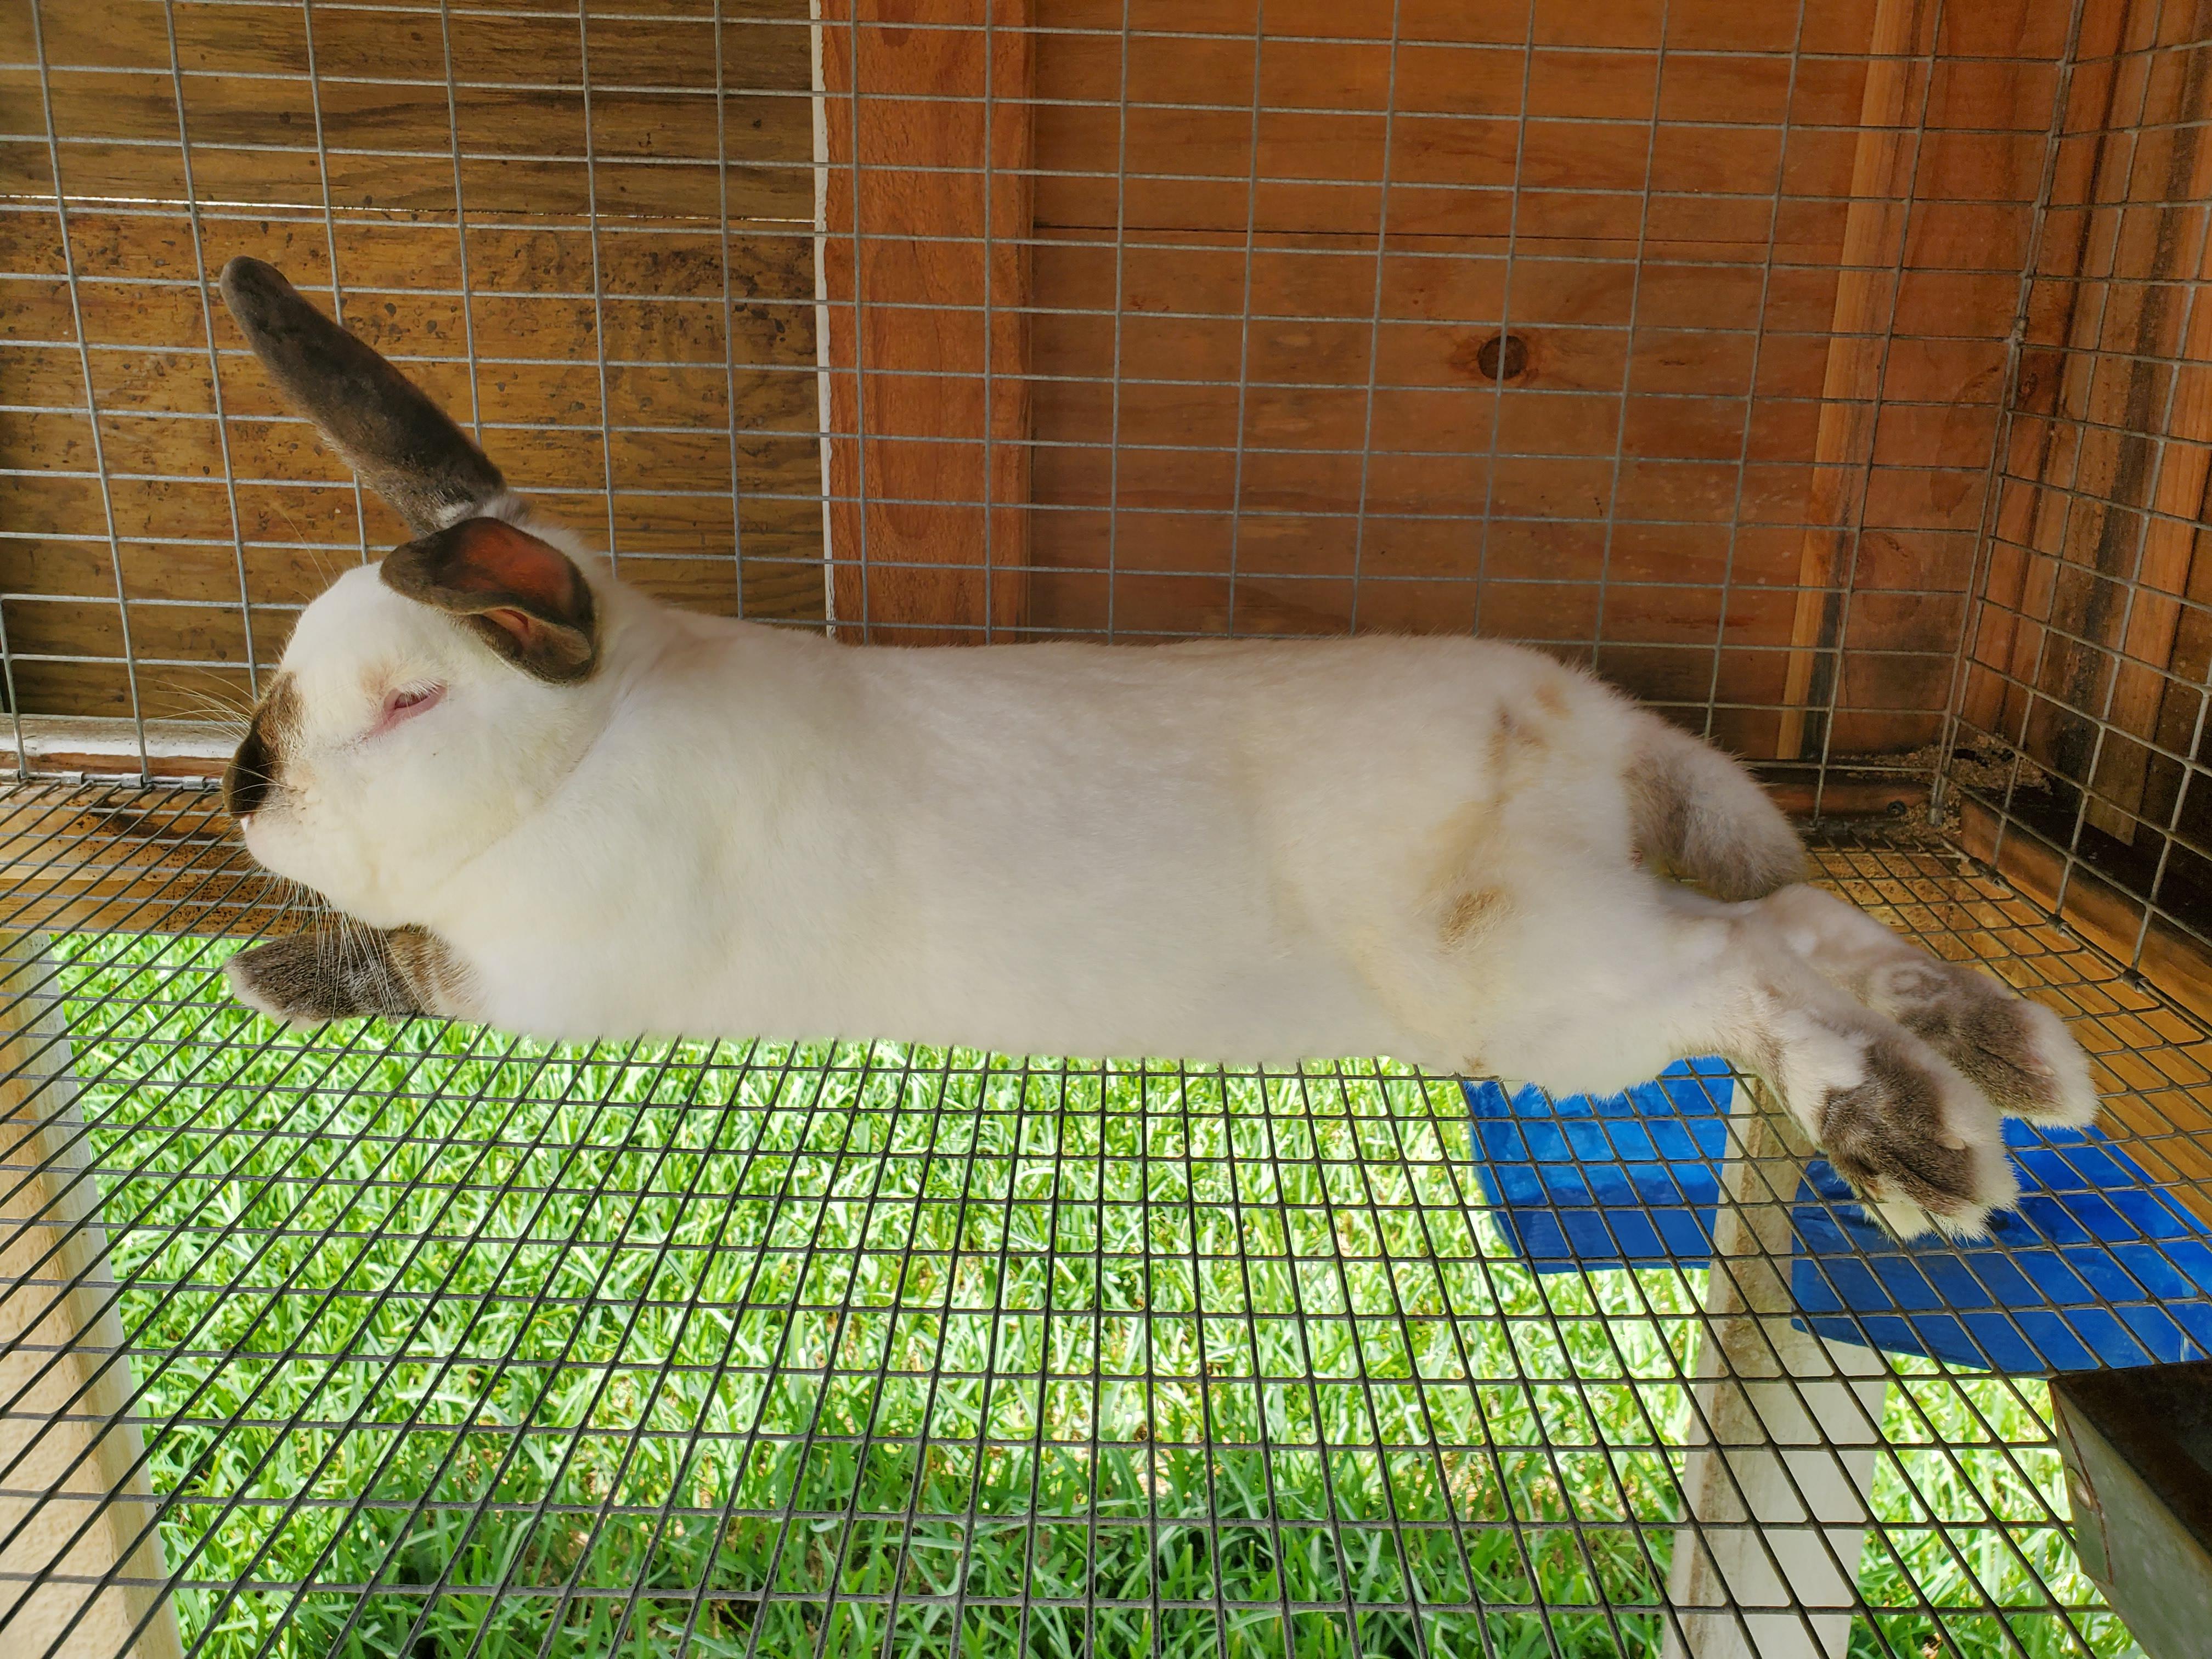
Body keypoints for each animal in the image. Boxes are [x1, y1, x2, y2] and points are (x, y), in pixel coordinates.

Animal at [212, 257, 2098, 1240]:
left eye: (406, 702)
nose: (244, 790)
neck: (592, 742)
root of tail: (1582, 718)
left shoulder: (532, 978)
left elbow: (399, 970)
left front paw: (263, 978)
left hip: (1543, 982)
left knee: (1754, 976)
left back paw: (1924, 1146)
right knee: (1808, 928)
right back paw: (2015, 1066)